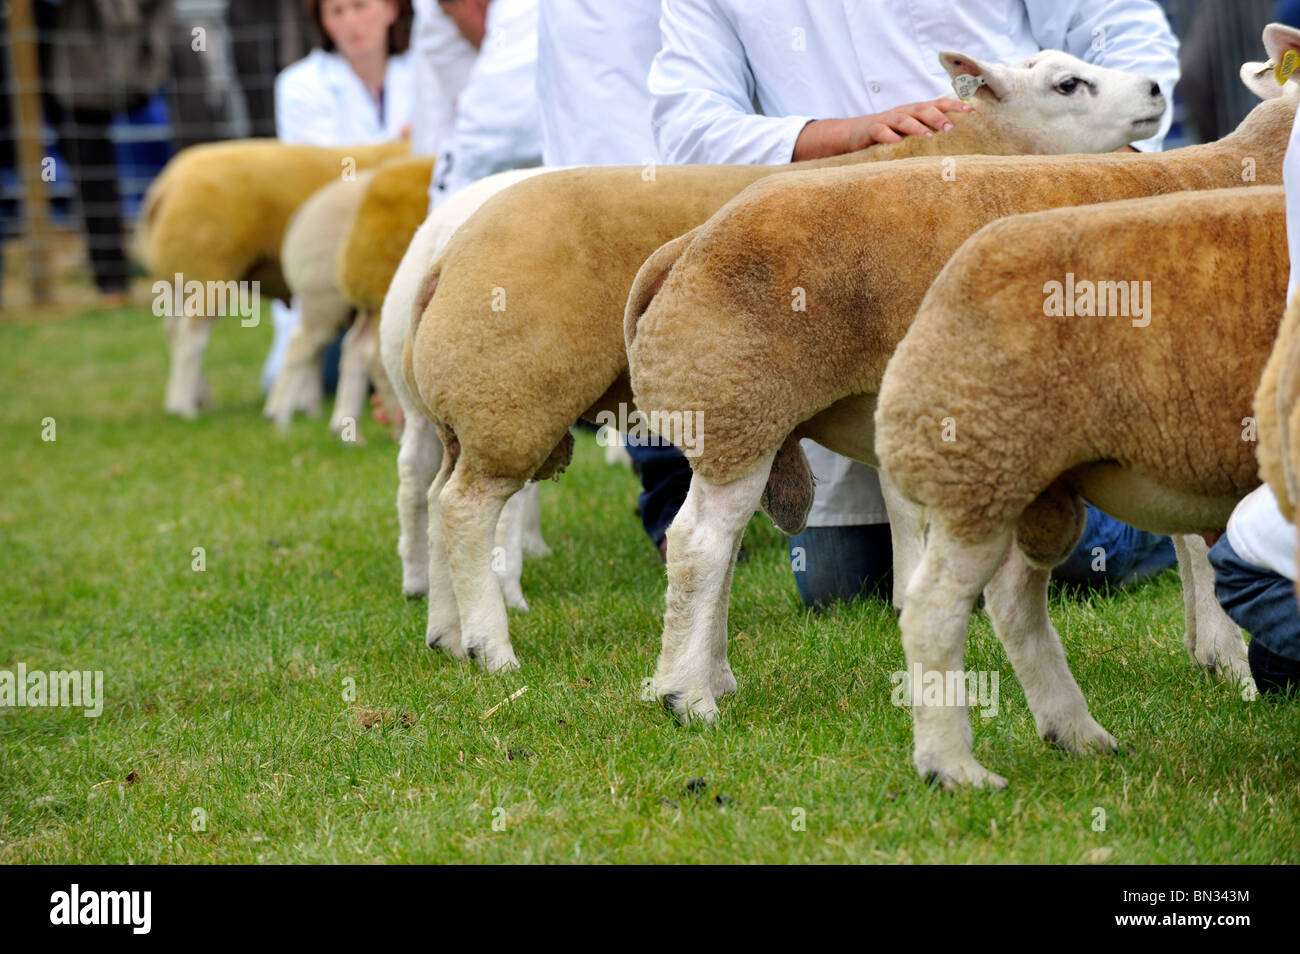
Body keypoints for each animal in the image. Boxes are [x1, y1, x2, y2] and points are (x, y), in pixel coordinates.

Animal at [136, 139, 409, 419]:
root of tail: (167, 184)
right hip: (208, 270)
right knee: (191, 337)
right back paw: (185, 407)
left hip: (180, 278)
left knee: (174, 331)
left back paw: (198, 400)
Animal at [869, 187, 1287, 788]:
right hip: (981, 465)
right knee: (934, 609)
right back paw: (953, 768)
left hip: (1037, 489)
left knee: (1013, 602)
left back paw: (1075, 735)